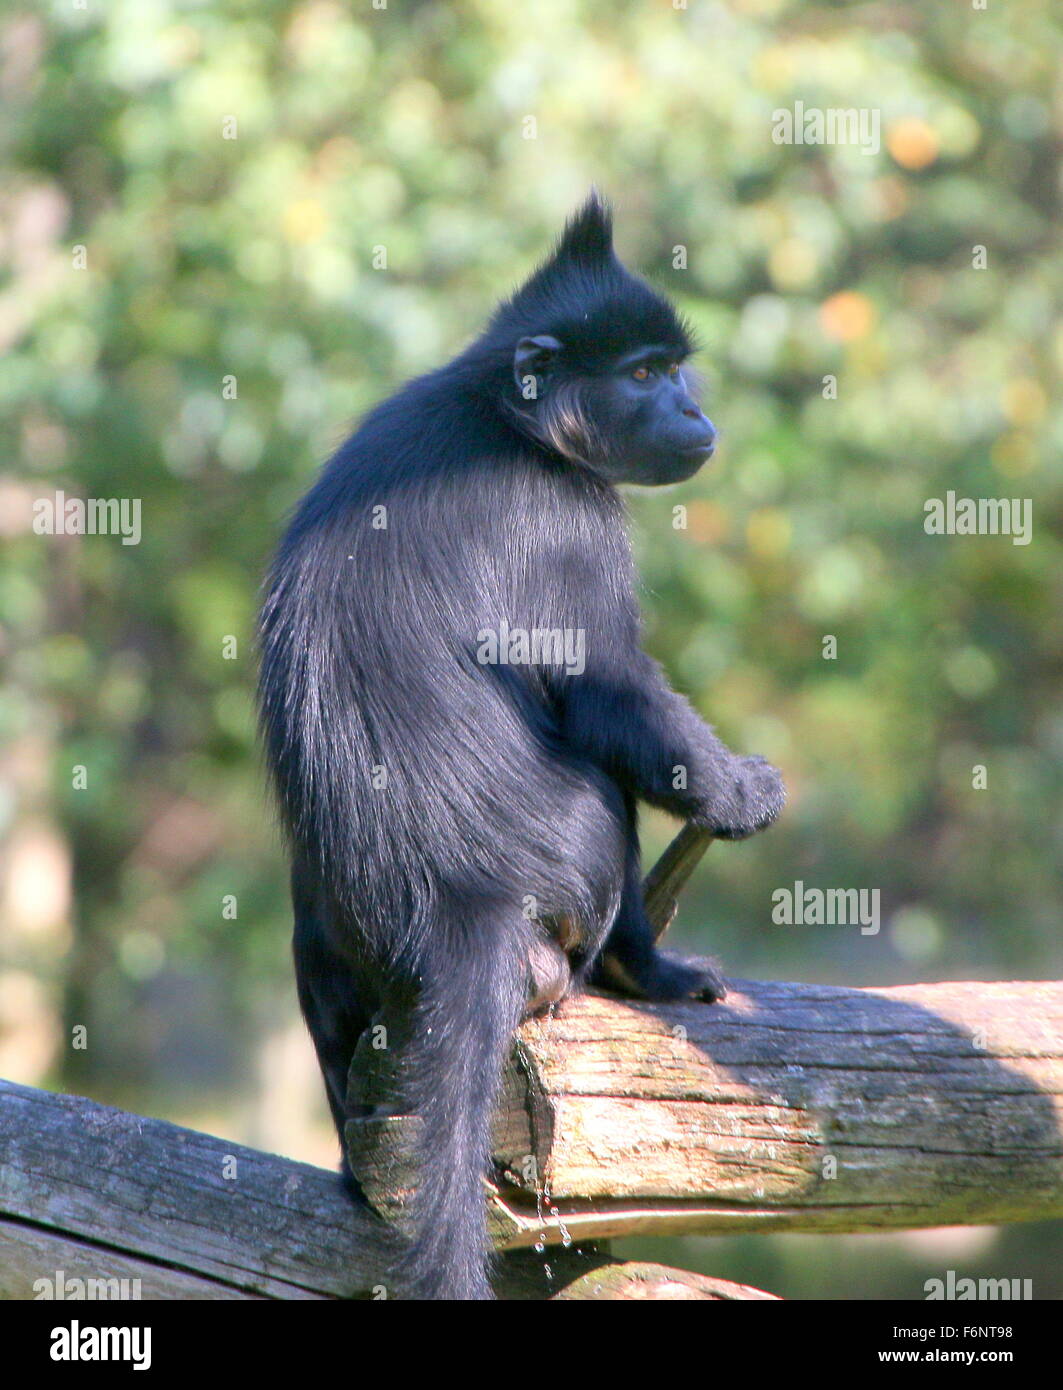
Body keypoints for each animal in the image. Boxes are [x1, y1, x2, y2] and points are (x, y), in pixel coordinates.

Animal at [258, 194, 784, 1300]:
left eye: (676, 370)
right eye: (644, 374)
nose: (695, 413)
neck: (507, 417)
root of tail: (463, 900)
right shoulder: (568, 515)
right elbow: (607, 692)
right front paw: (734, 792)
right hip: (569, 877)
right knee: (607, 796)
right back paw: (644, 968)